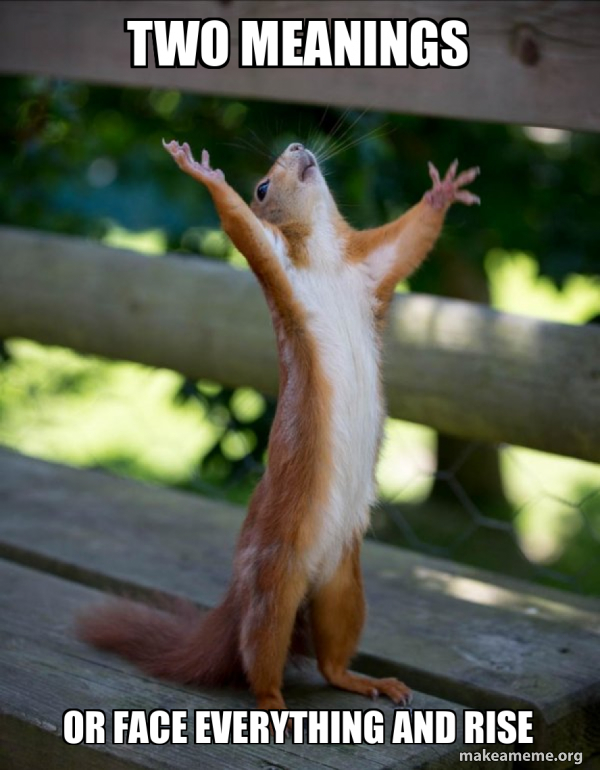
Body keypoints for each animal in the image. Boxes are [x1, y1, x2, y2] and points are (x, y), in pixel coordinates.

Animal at [78, 138, 479, 712]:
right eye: (262, 187)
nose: (296, 146)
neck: (326, 257)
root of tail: (238, 596)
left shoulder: (372, 267)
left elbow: (410, 240)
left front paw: (442, 192)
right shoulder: (276, 264)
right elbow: (240, 225)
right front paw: (204, 173)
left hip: (344, 586)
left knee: (332, 659)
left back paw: (365, 680)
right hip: (274, 583)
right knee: (259, 655)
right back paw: (274, 704)